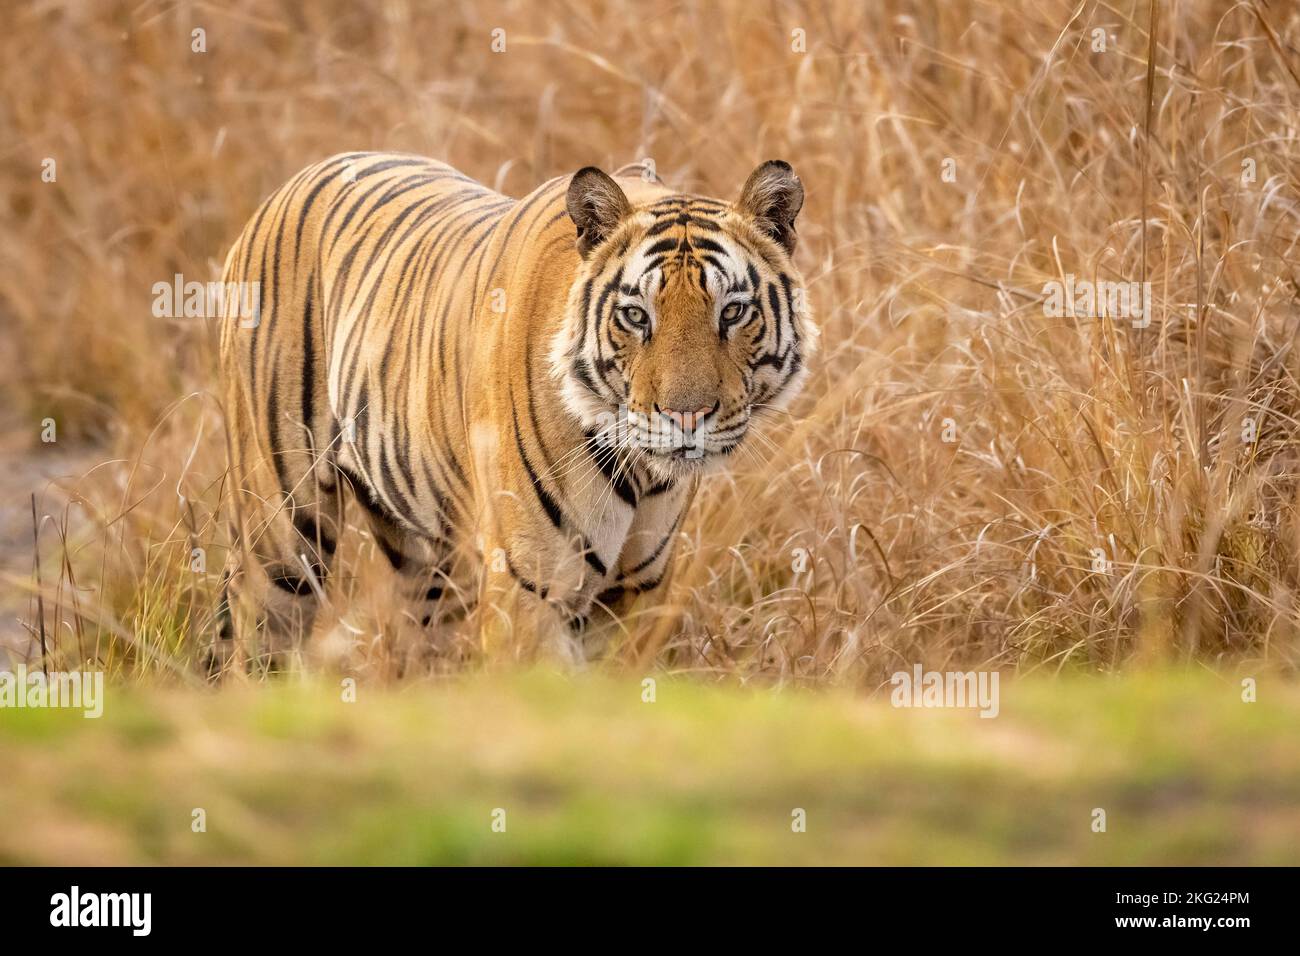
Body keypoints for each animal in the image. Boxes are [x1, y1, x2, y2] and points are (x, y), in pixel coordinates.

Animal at [209, 151, 815, 673]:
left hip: (429, 560)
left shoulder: (635, 592)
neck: (641, 475)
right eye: (636, 315)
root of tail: (288, 186)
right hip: (282, 536)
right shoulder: (531, 588)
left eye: (732, 311)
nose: (685, 417)